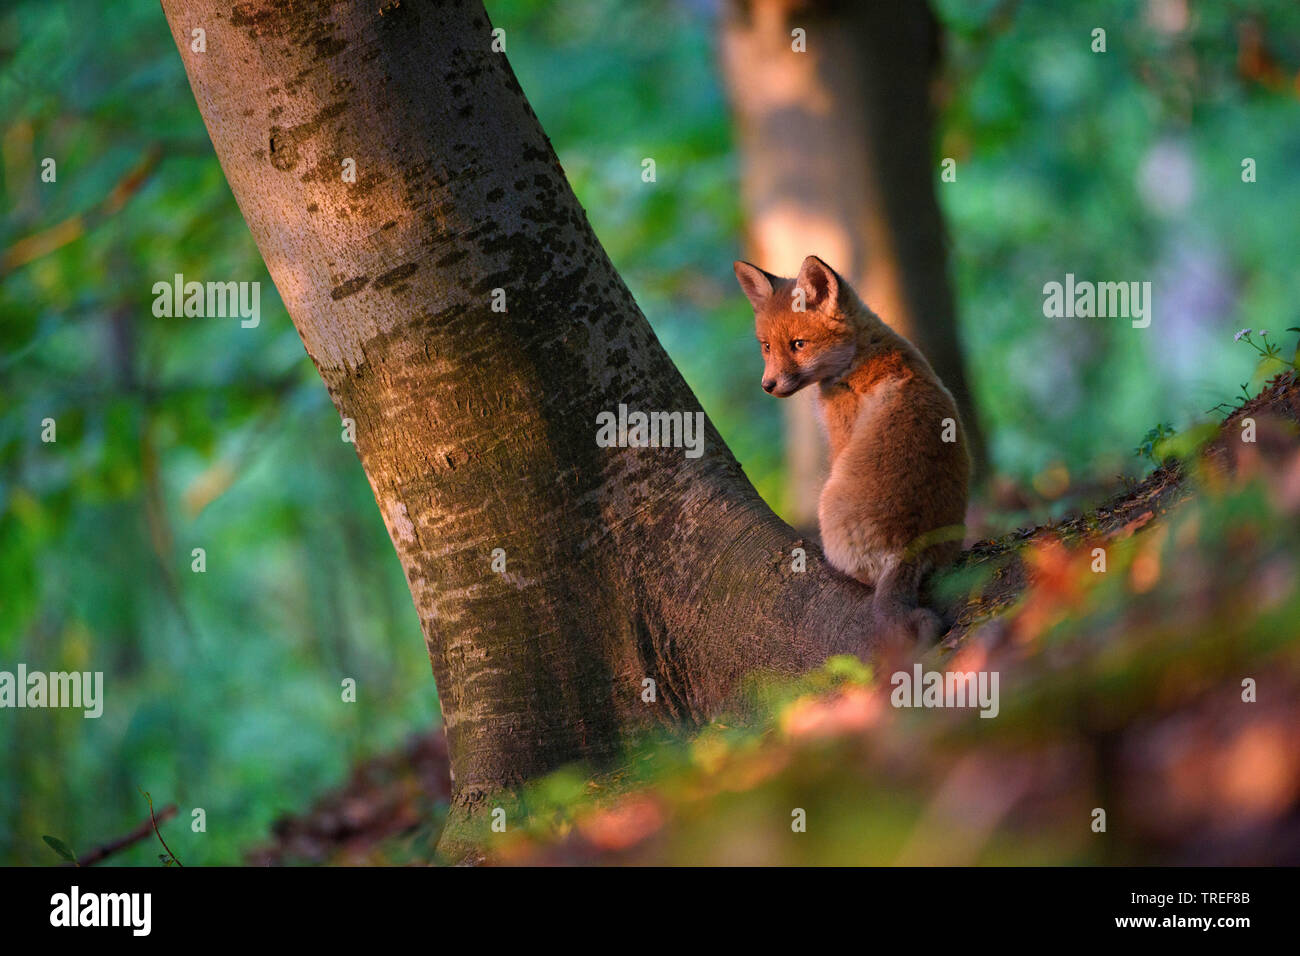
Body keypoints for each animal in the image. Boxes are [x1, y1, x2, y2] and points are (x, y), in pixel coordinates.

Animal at [734, 254, 970, 643]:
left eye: (799, 344)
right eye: (766, 346)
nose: (768, 386)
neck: (860, 353)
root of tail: (909, 546)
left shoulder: (839, 438)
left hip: (828, 502)